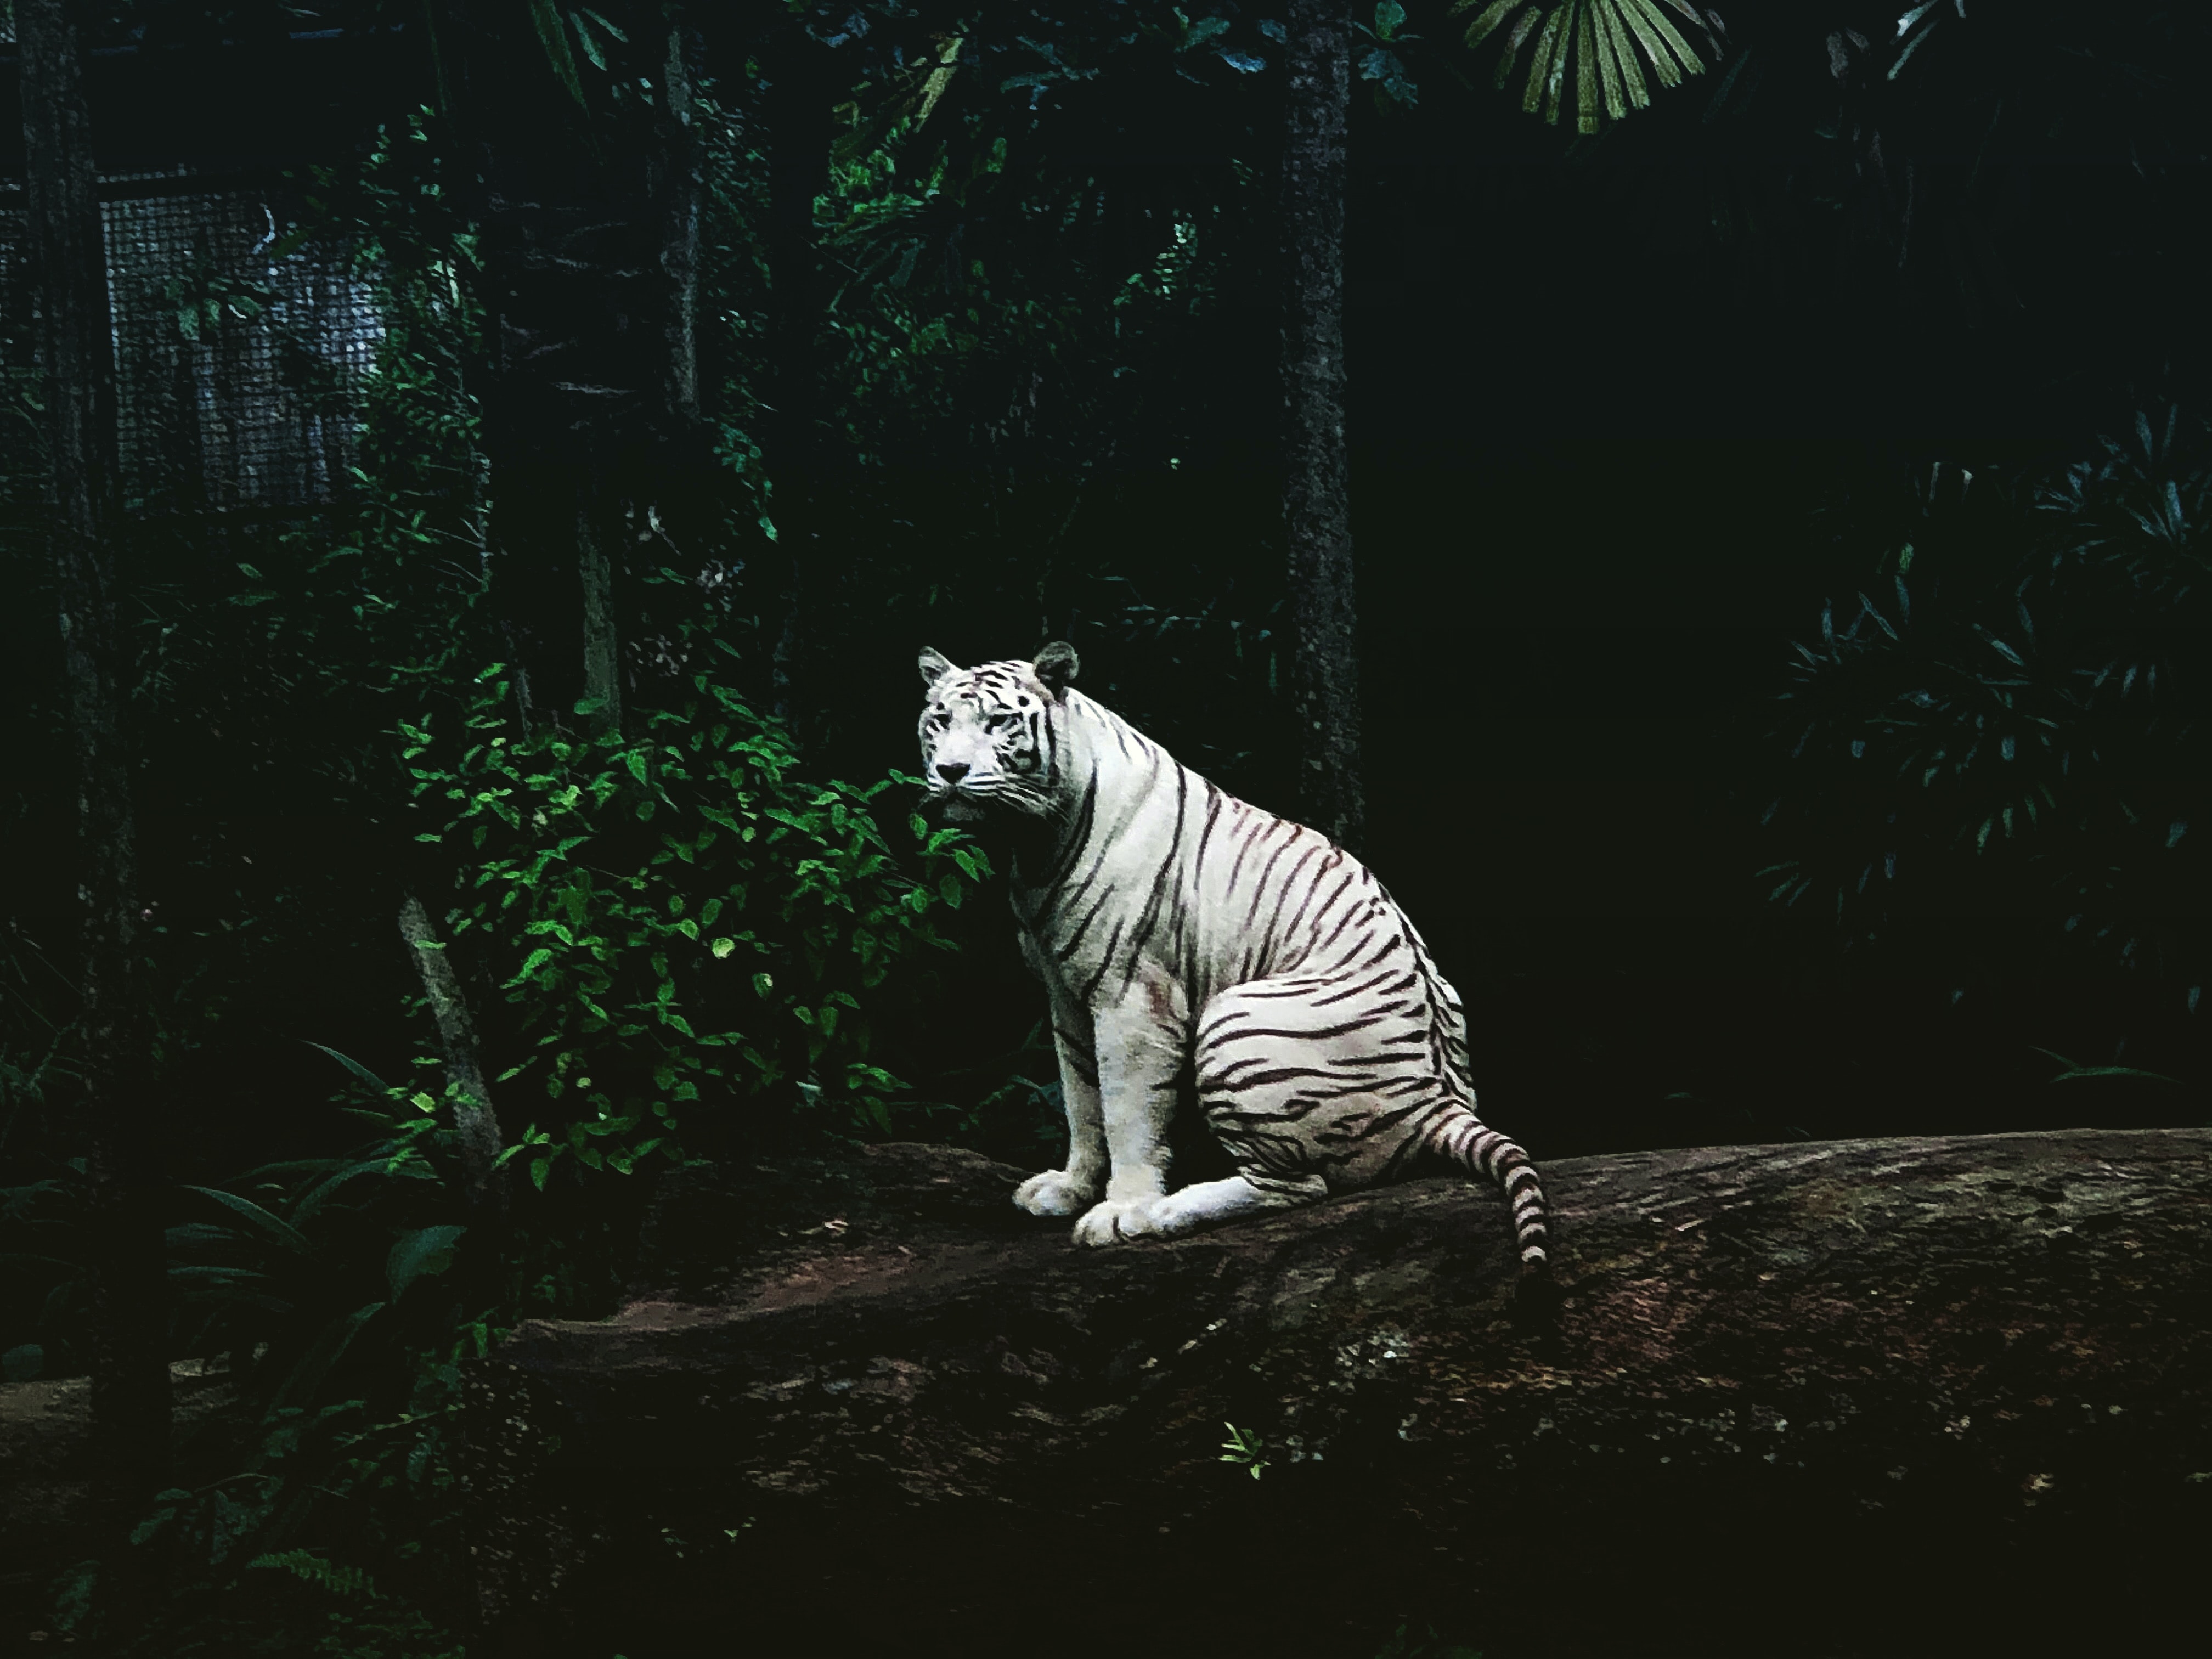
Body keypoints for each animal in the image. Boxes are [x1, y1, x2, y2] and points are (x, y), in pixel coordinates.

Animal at [916, 640, 1552, 1283]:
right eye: (940, 721)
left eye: (999, 721)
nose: (950, 772)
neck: (1035, 842)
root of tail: (1437, 1105)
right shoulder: (1066, 997)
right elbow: (1081, 1101)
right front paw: (1068, 1189)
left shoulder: (1132, 999)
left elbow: (1125, 1112)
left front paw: (1121, 1210)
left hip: (1236, 1021)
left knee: (1299, 1187)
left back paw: (1166, 1213)